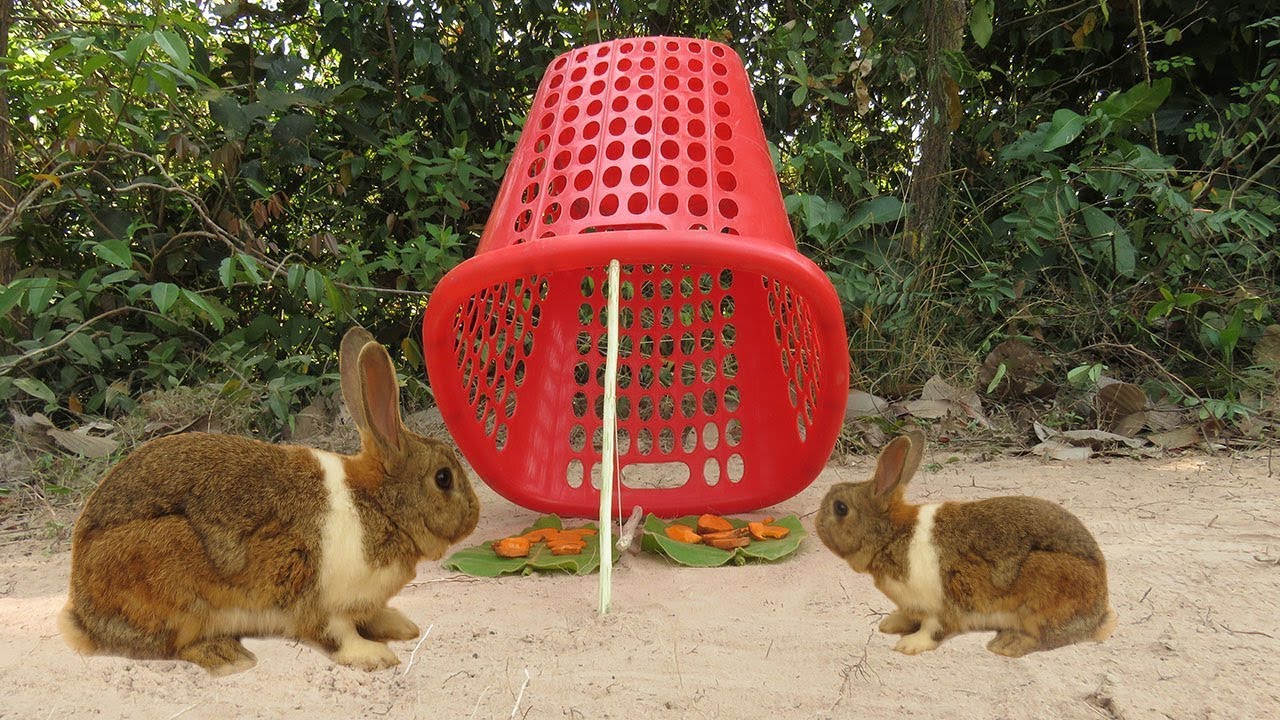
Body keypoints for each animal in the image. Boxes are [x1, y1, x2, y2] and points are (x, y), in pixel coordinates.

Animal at [58, 326, 480, 675]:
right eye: (443, 478)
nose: (474, 516)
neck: (379, 505)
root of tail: (81, 612)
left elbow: (372, 615)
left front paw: (400, 627)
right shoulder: (320, 601)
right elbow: (337, 634)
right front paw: (374, 656)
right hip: (171, 581)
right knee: (175, 645)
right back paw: (230, 658)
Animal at [815, 430, 1116, 657]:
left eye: (840, 508)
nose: (816, 524)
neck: (892, 536)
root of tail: (1100, 612)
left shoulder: (943, 604)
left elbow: (934, 629)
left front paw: (909, 645)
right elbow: (910, 616)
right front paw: (891, 624)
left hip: (1044, 591)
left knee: (1045, 637)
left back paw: (1006, 645)